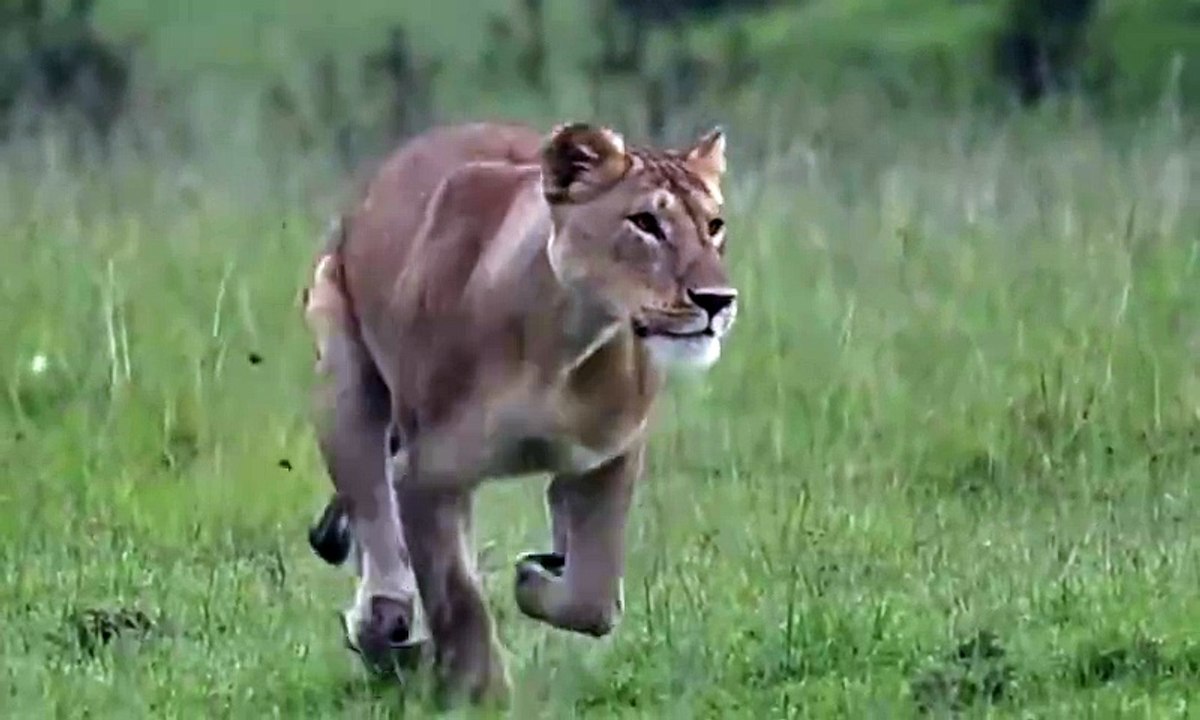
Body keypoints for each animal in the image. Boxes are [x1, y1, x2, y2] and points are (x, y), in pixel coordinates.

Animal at [300, 120, 738, 705]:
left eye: (714, 226)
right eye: (645, 222)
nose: (718, 300)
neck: (563, 345)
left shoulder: (610, 454)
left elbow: (594, 596)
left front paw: (534, 577)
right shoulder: (426, 473)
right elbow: (456, 596)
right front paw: (479, 691)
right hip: (343, 381)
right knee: (375, 520)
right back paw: (384, 628)